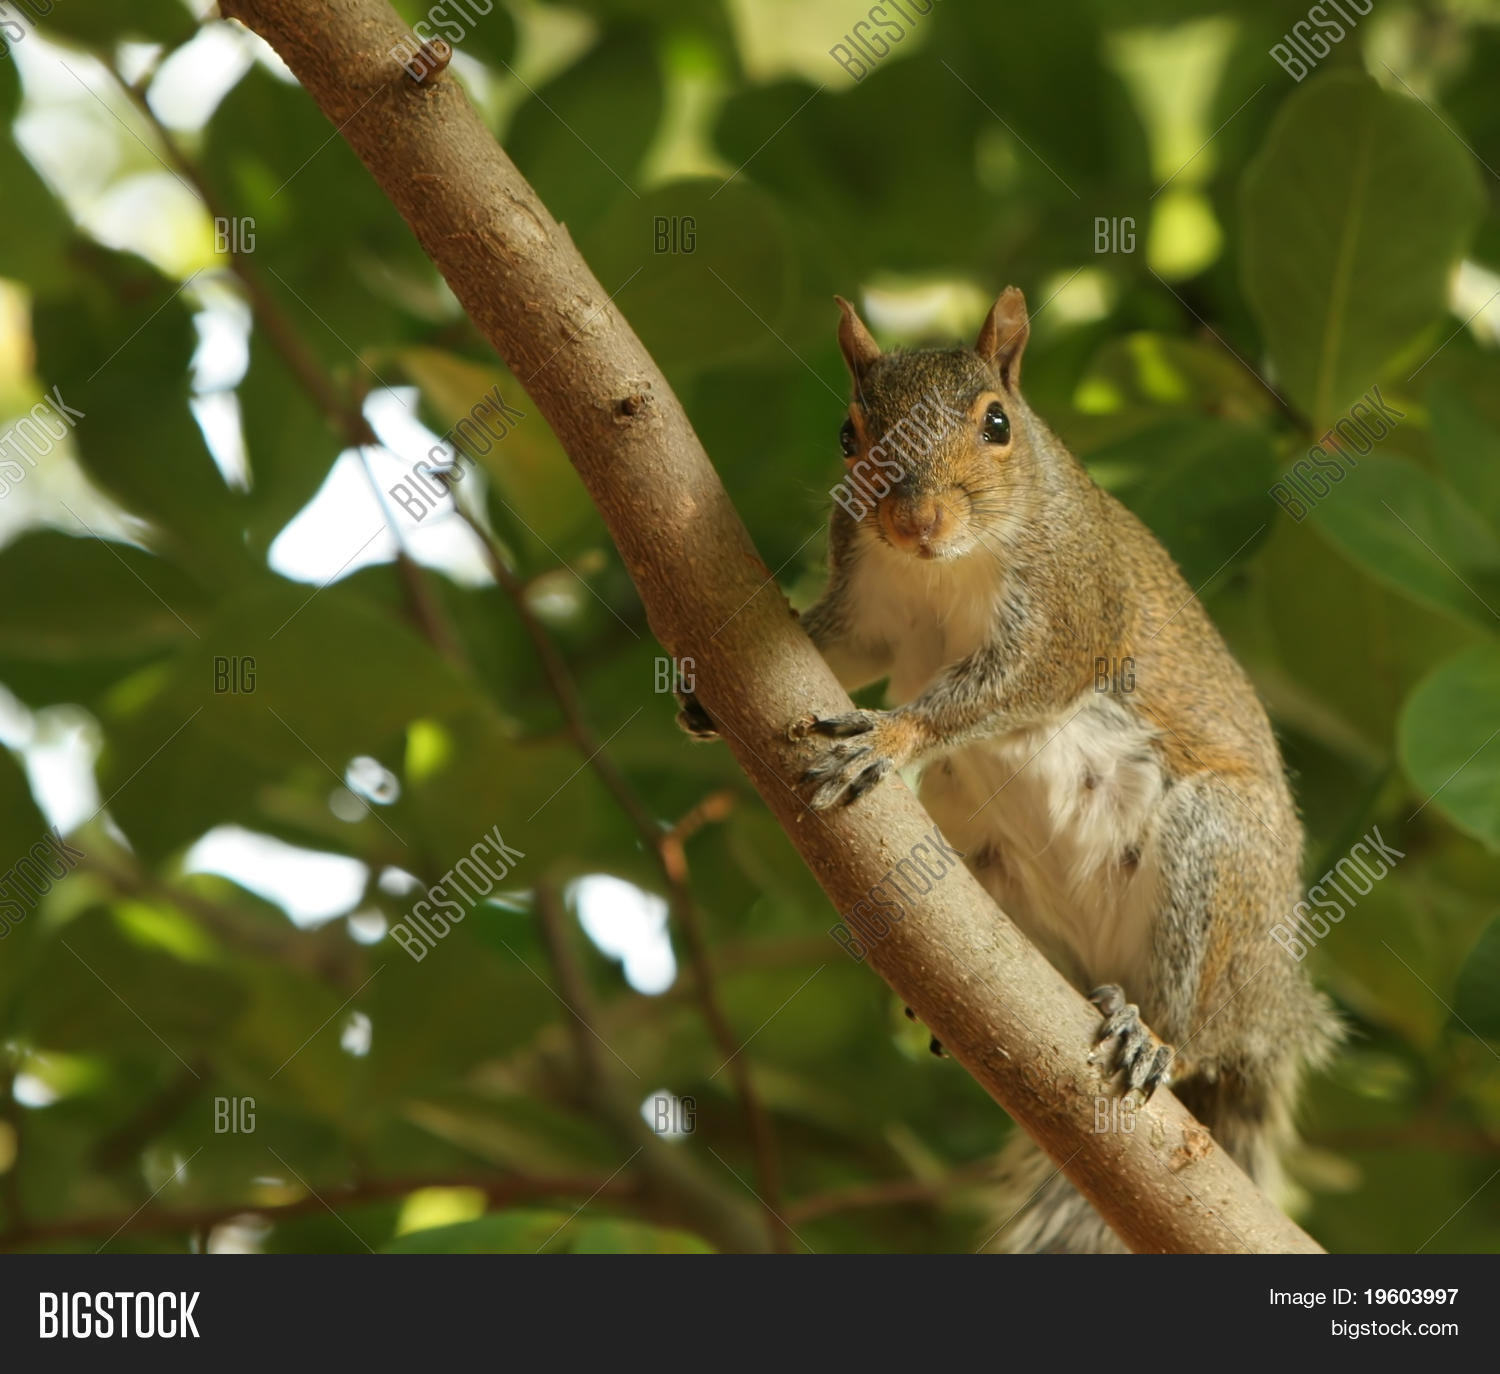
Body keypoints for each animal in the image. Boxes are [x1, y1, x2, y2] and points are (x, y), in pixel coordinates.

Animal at [677, 288, 1340, 1253]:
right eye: (848, 434)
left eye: (997, 422)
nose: (916, 522)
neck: (943, 572)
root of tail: (1275, 1005)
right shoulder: (871, 607)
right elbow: (830, 641)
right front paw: (700, 698)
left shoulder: (1070, 615)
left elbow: (999, 693)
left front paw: (889, 738)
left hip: (1219, 863)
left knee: (1202, 1030)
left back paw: (1152, 1033)